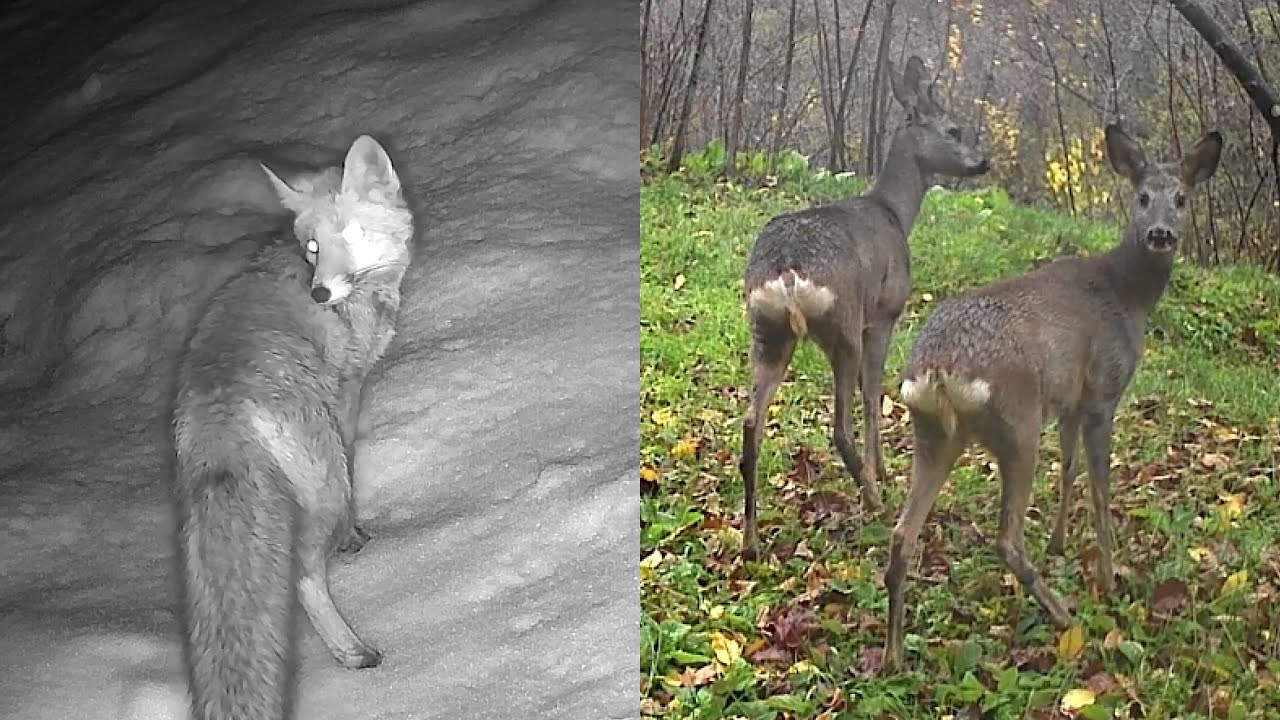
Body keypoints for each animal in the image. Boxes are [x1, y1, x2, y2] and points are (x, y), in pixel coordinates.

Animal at [170, 134, 415, 720]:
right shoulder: (346, 392)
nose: (320, 295)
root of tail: (219, 401)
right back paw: (352, 652)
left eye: (346, 236)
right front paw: (354, 537)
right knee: (303, 576)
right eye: (313, 247)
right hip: (322, 486)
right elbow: (354, 464)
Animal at [739, 55, 990, 558]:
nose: (983, 161)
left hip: (767, 330)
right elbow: (874, 394)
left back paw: (751, 541)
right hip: (843, 324)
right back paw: (872, 499)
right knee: (839, 425)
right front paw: (885, 473)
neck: (894, 212)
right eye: (954, 129)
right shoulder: (884, 314)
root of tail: (788, 273)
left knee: (751, 425)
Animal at [882, 123, 1223, 670]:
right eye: (1142, 197)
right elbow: (1101, 490)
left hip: (933, 432)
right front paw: (1108, 578)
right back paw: (1064, 616)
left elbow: (1068, 469)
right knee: (1005, 538)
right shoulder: (1103, 390)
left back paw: (893, 655)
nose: (1161, 234)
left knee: (901, 535)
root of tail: (935, 369)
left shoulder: (1069, 400)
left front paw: (1060, 542)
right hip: (1017, 422)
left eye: (1182, 199)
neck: (1127, 294)